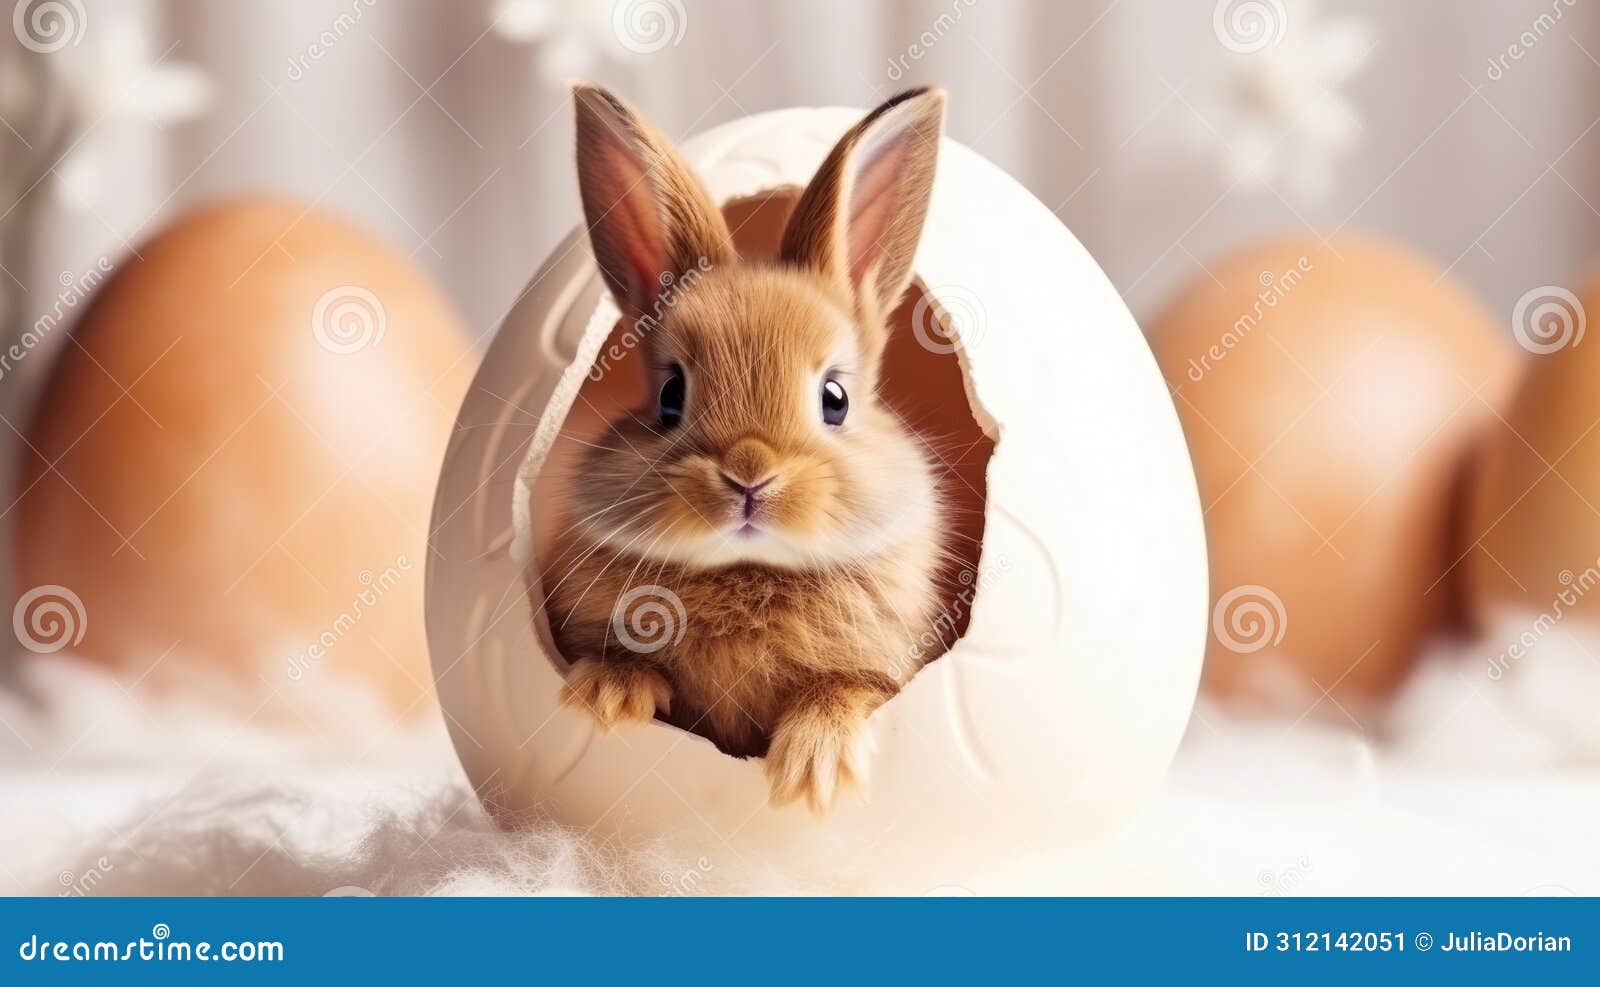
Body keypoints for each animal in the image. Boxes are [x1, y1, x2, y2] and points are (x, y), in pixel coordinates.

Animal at [547, 83, 950, 817]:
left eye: (835, 398)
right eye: (670, 395)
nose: (749, 476)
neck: (747, 569)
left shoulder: (887, 669)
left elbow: (843, 689)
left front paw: (814, 767)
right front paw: (607, 695)